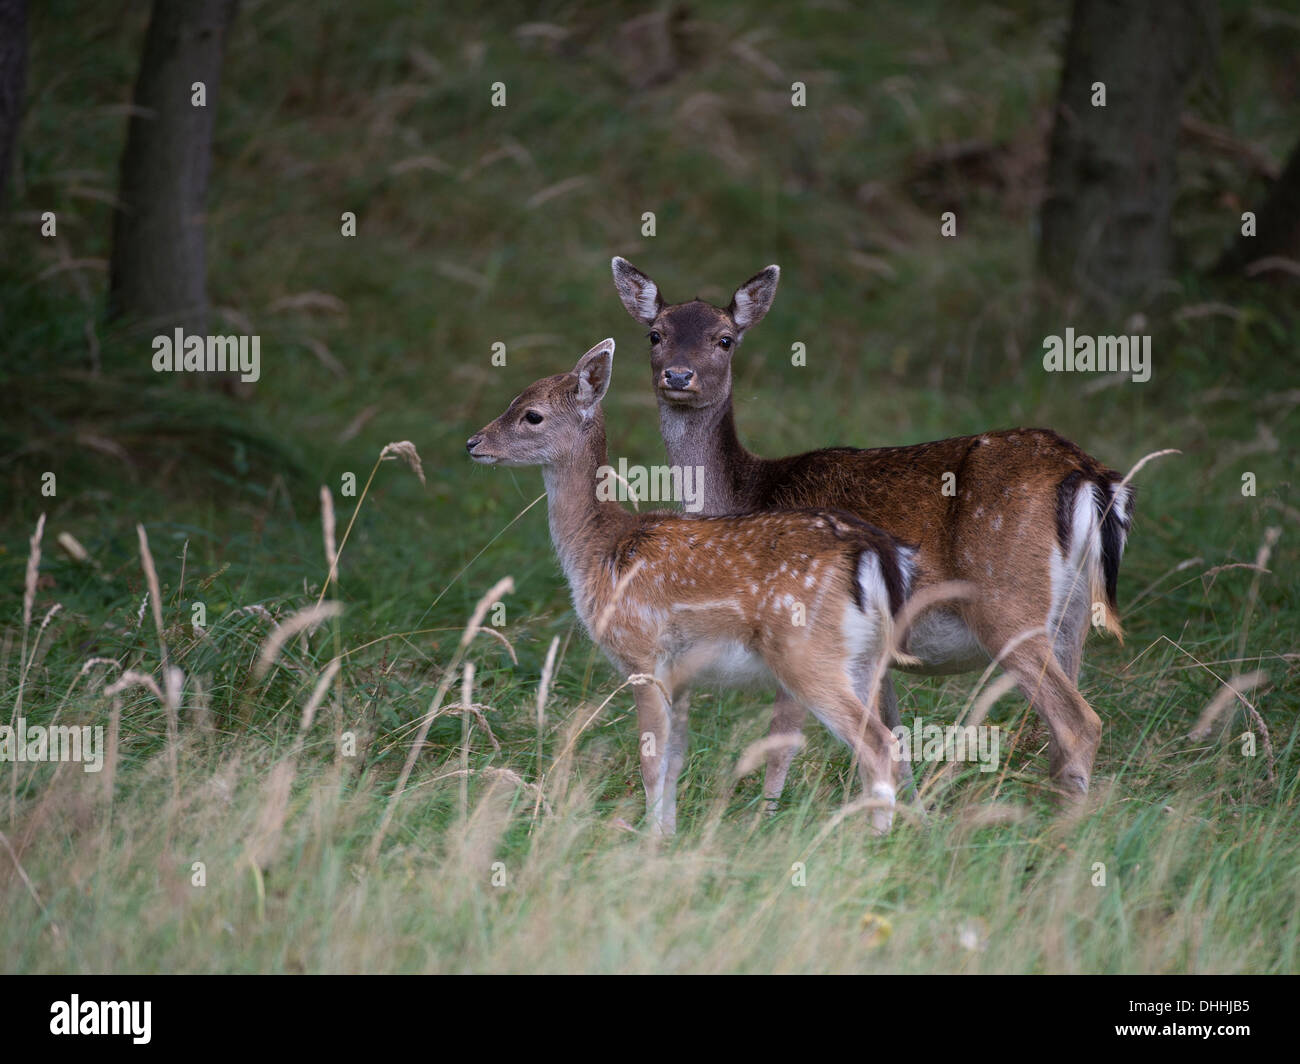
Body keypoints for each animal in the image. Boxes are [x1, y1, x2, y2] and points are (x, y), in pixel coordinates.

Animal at [466, 338, 918, 835]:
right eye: (512, 401)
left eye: (531, 415)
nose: (473, 443)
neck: (600, 550)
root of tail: (874, 550)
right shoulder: (680, 675)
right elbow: (674, 762)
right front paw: (668, 834)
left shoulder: (642, 653)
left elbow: (651, 761)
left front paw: (648, 838)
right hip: (866, 657)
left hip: (808, 652)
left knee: (876, 742)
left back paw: (873, 838)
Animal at [611, 257, 1135, 805]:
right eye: (655, 334)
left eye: (725, 339)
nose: (678, 374)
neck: (745, 494)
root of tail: (1089, 476)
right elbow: (896, 738)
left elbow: (783, 742)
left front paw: (767, 810)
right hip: (1073, 615)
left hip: (1007, 602)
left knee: (1078, 721)